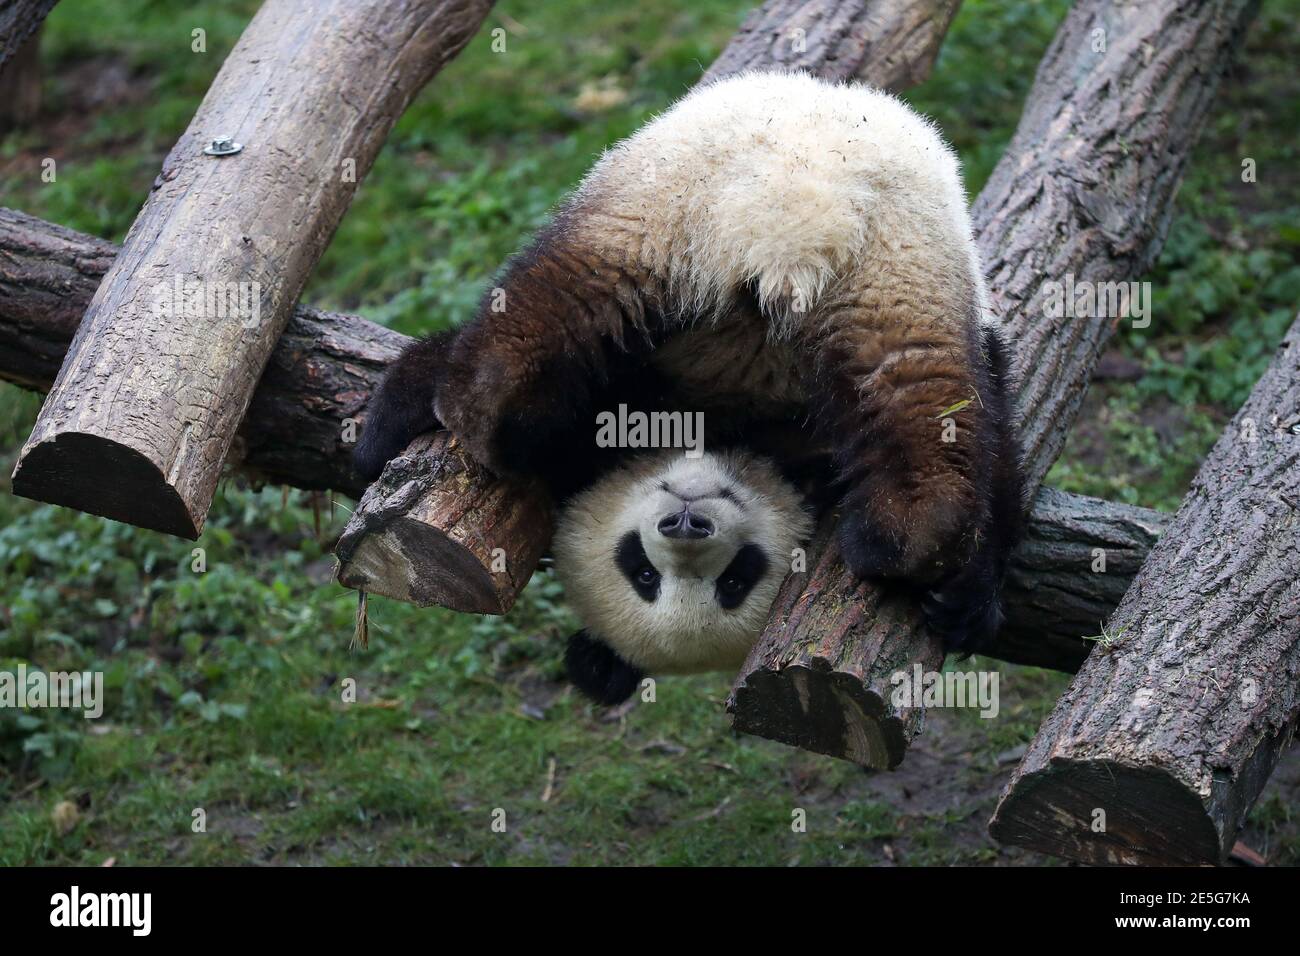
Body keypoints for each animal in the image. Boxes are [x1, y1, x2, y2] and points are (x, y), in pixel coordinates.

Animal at [354, 70, 1026, 704]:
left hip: (712, 215)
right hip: (747, 225)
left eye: (735, 579)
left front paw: (966, 604)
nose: (685, 522)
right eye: (642, 572)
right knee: (916, 390)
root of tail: (793, 226)